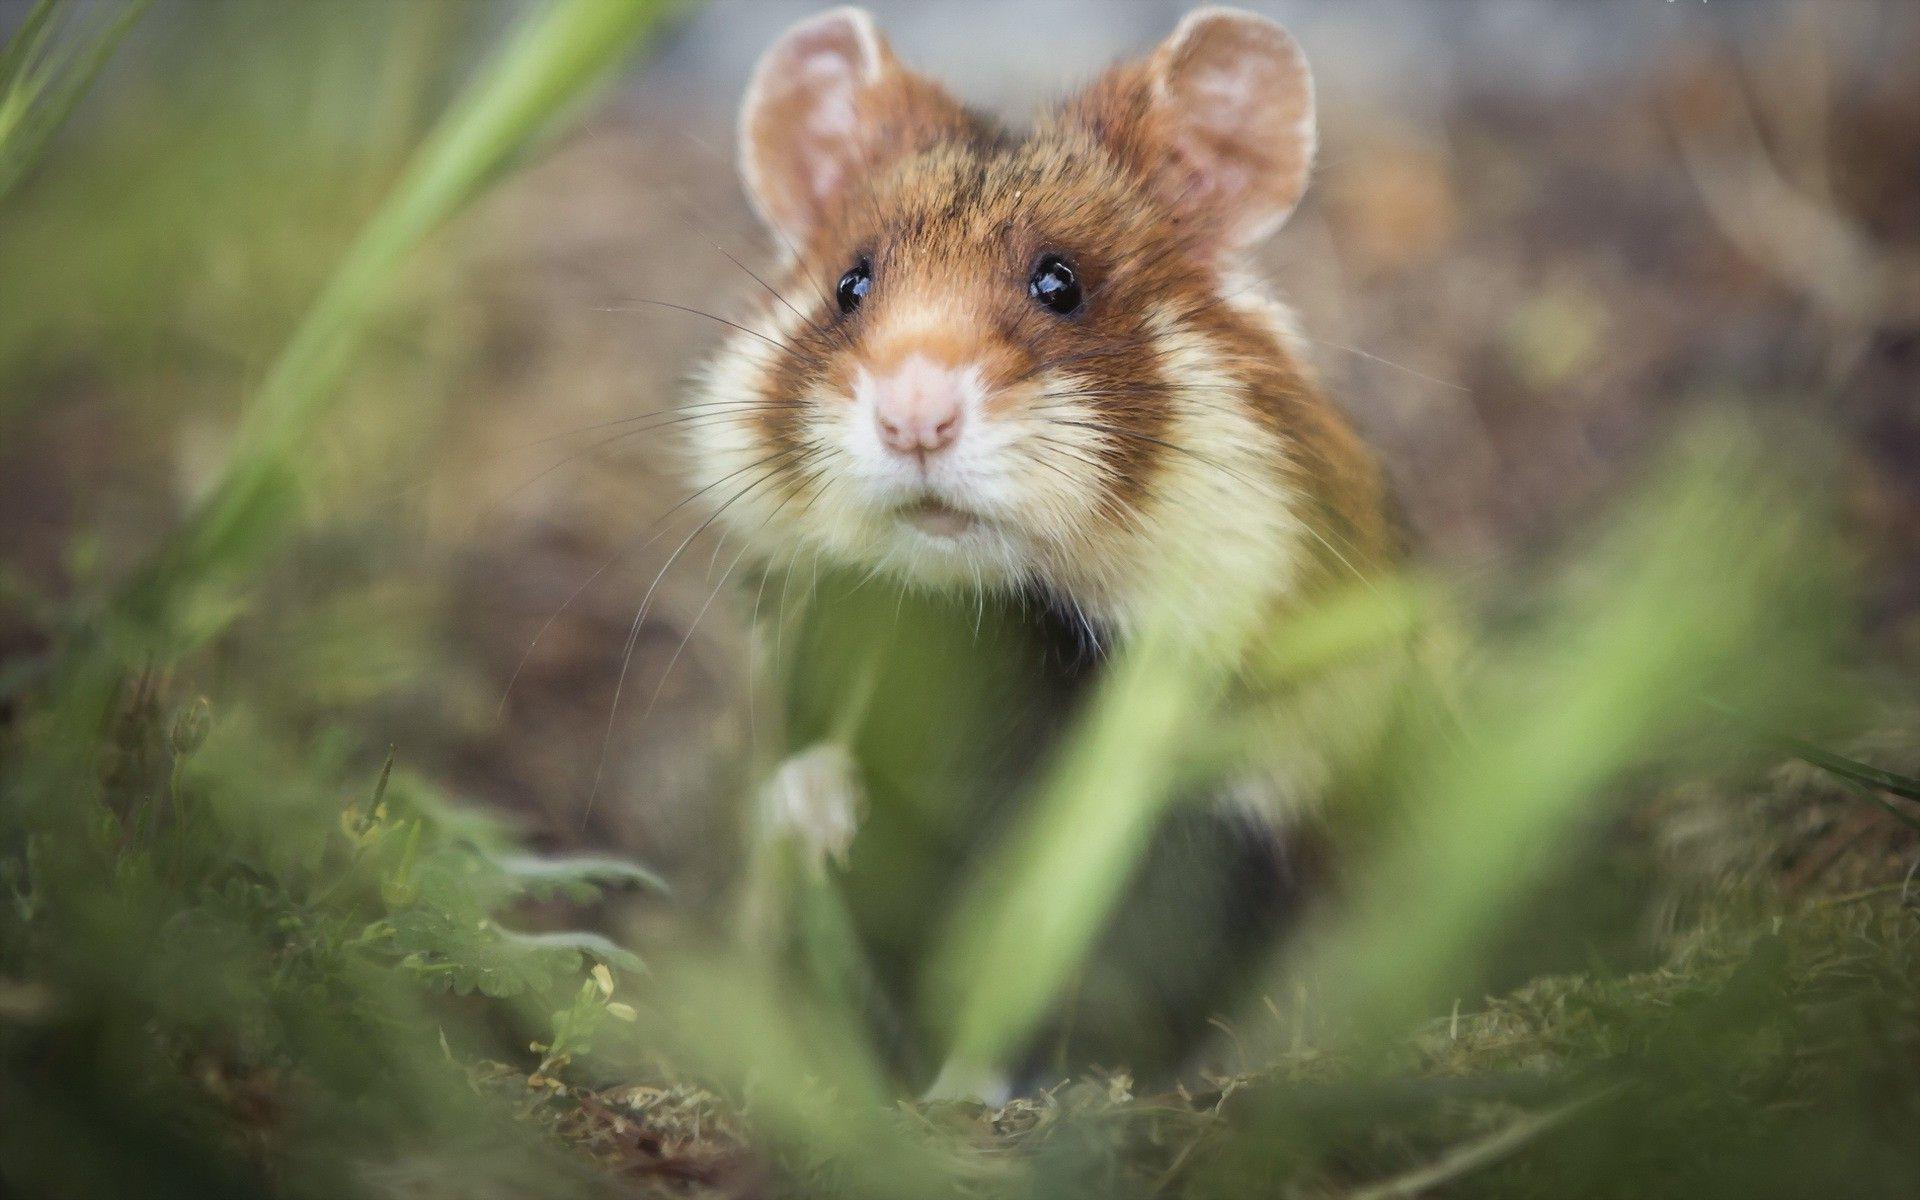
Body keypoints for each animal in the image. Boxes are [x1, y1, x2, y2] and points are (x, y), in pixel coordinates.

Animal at [686, 6, 1396, 1090]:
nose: (914, 416)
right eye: (849, 285)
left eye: (1060, 283)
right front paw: (819, 805)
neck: (976, 629)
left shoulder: (1207, 835)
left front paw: (968, 1097)